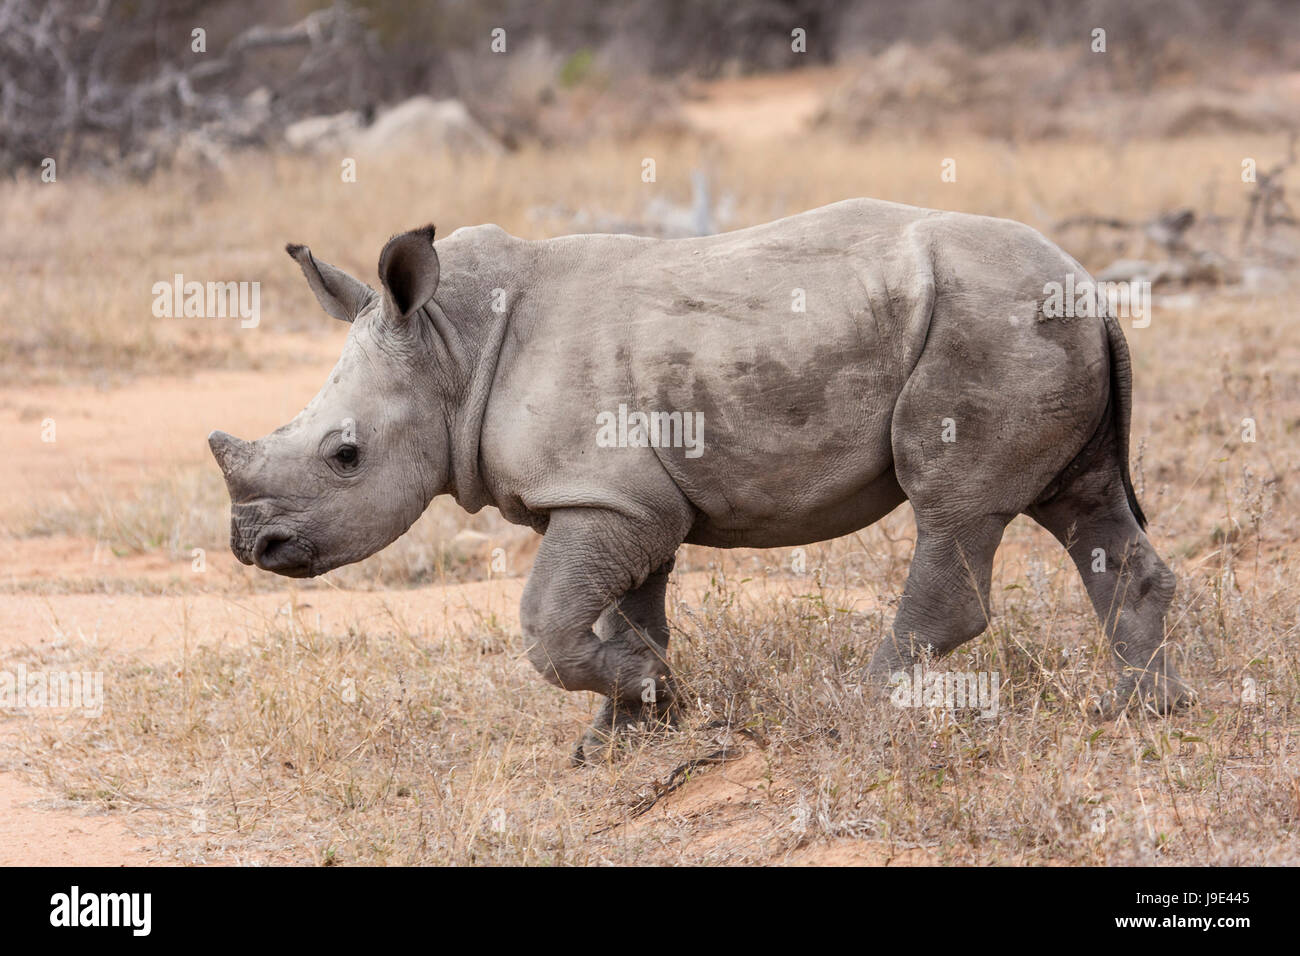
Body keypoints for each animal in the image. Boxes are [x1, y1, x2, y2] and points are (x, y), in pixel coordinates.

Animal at [208, 199, 1189, 762]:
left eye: (344, 456)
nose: (252, 544)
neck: (452, 344)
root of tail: (1095, 290)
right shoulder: (620, 494)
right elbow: (623, 607)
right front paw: (626, 730)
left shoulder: (607, 493)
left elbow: (548, 623)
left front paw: (653, 698)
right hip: (1031, 324)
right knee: (1083, 508)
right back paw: (1139, 713)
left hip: (988, 326)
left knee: (955, 510)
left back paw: (867, 707)